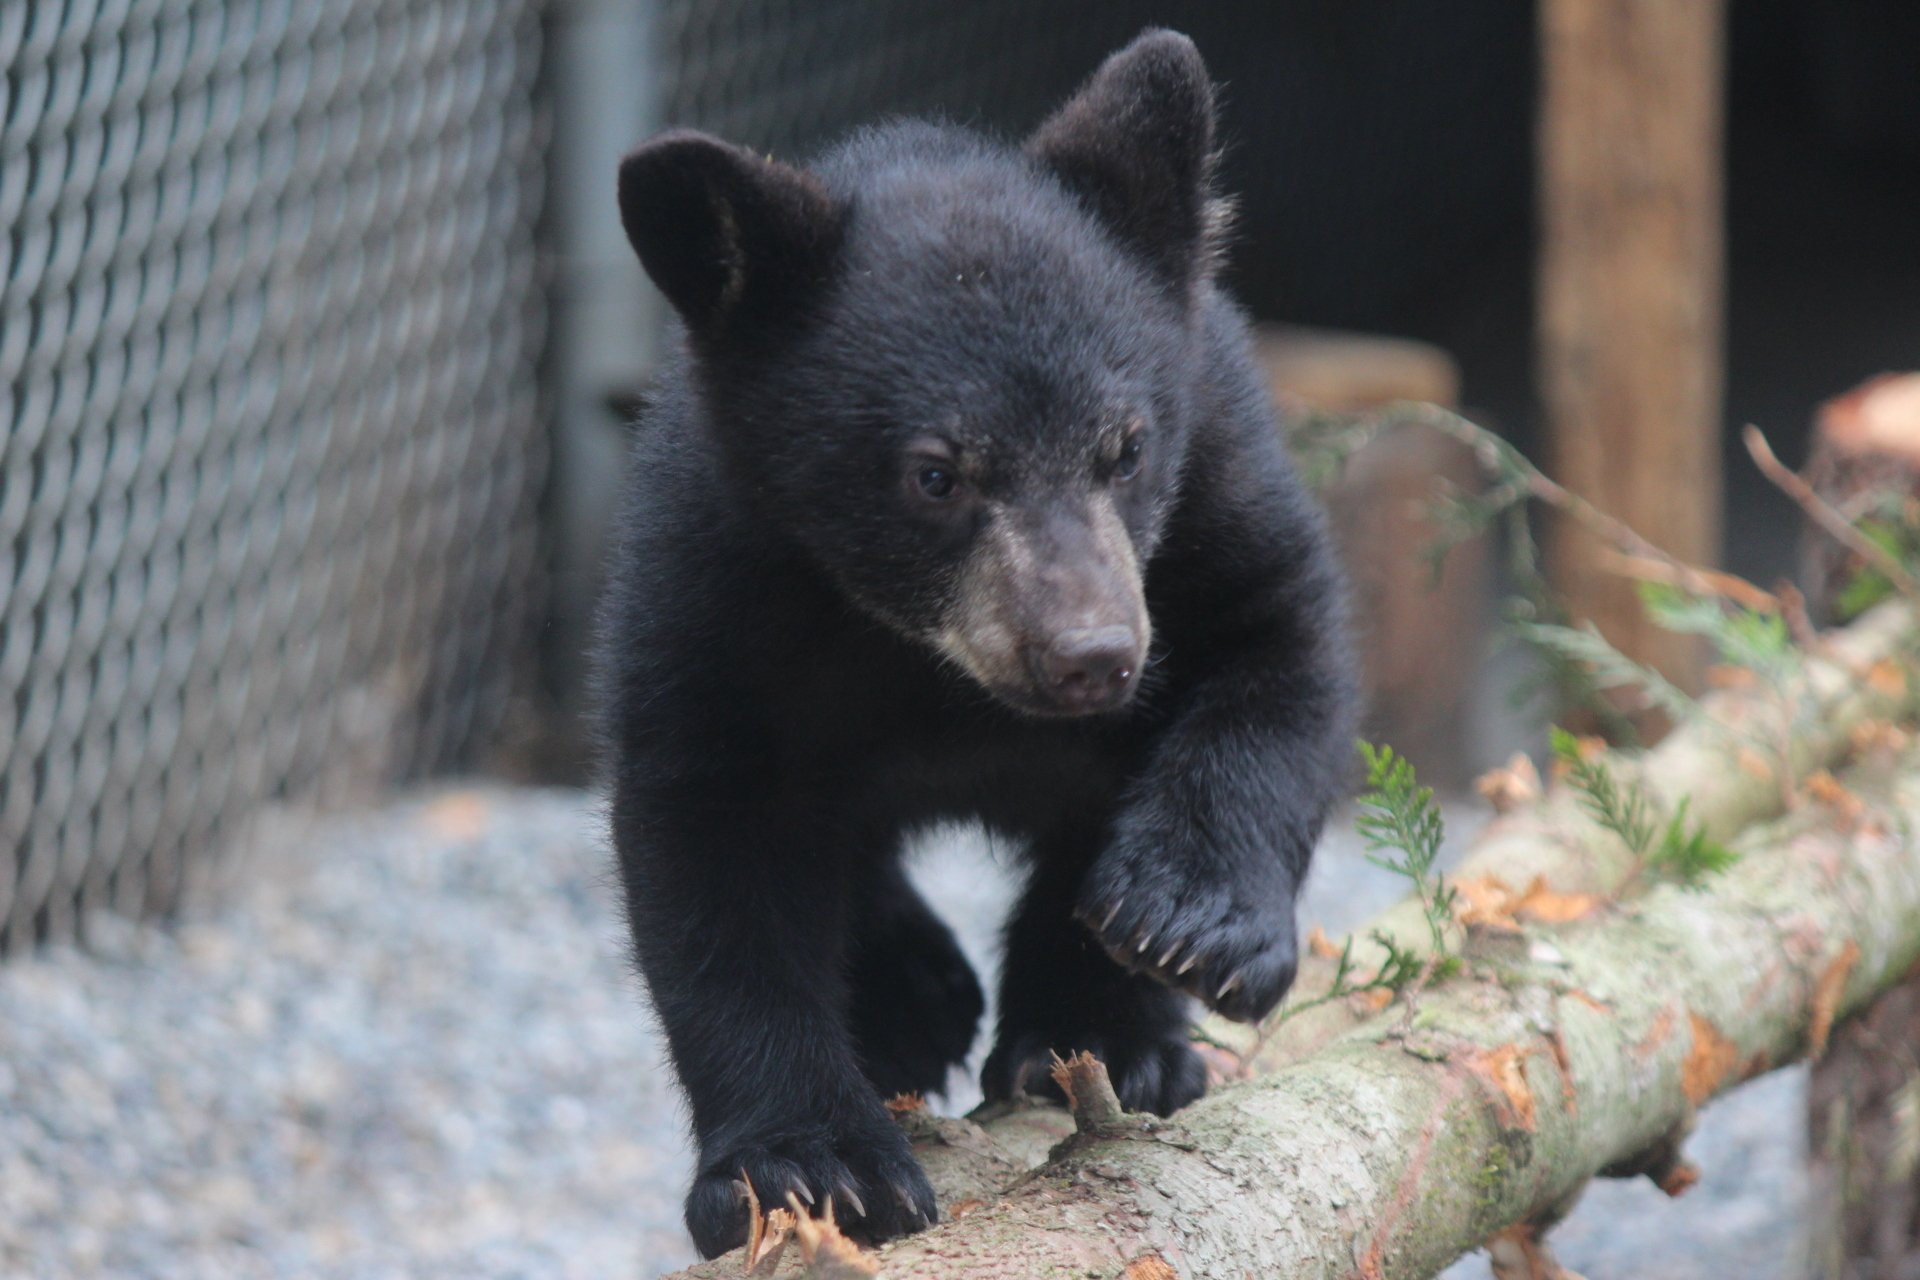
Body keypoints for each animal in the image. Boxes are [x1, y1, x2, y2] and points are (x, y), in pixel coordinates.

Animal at [598, 29, 1357, 1260]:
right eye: (935, 472)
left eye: (1125, 446)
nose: (1092, 656)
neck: (932, 666)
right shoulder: (716, 574)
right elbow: (711, 844)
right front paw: (810, 1166)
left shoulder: (1215, 478)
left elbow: (1277, 644)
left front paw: (1179, 933)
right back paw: (912, 997)